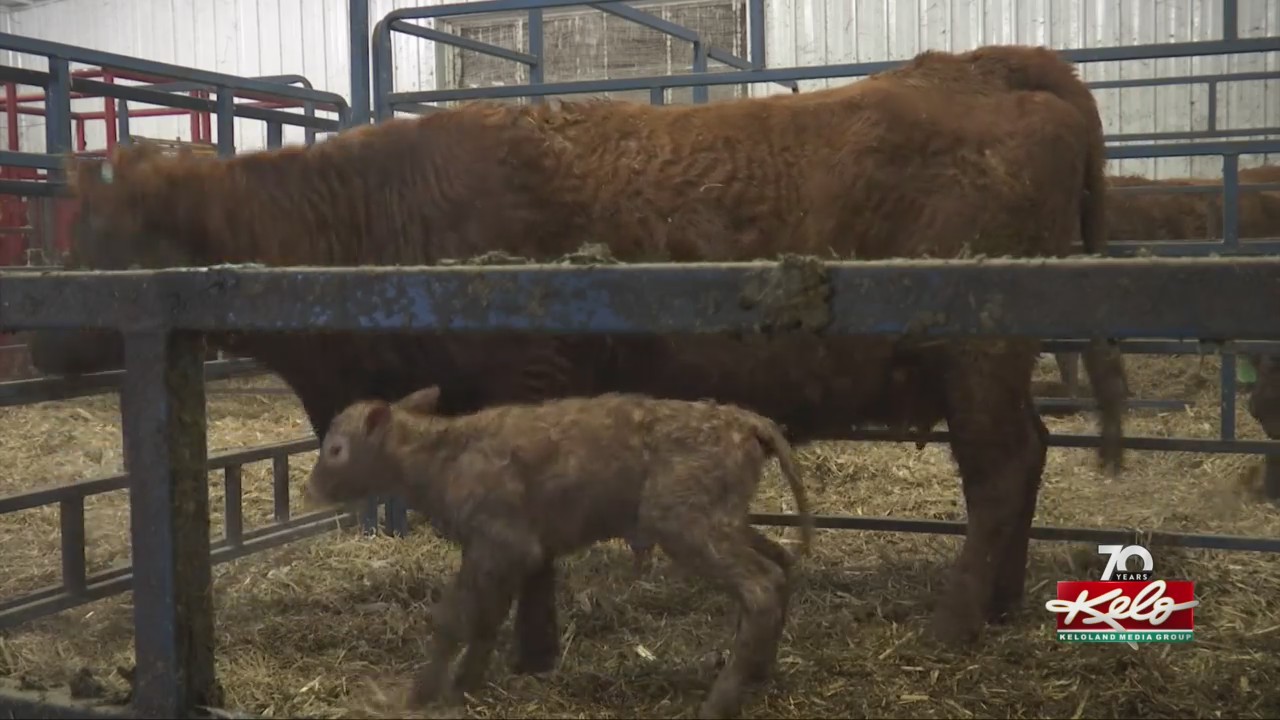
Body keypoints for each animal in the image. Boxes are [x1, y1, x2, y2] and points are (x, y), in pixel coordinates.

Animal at [27, 44, 1128, 657]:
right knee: (1024, 458)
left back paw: (956, 621)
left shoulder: (520, 389)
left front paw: (525, 651)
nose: (36, 340)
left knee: (998, 470)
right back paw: (1002, 606)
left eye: (109, 229)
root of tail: (986, 66)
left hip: (976, 351)